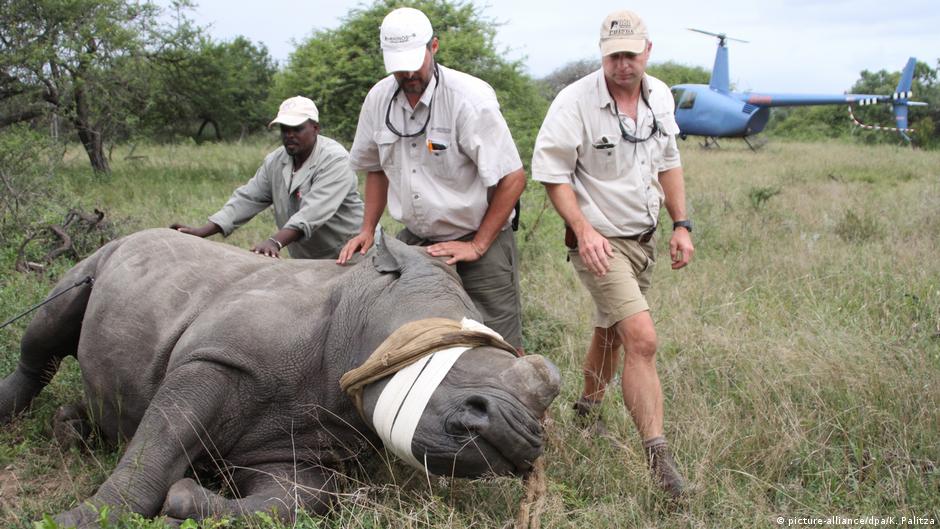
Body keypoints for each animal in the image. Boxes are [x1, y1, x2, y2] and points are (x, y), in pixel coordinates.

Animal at [0, 228, 561, 527]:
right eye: (442, 348)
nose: (517, 433)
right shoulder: (216, 357)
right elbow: (153, 450)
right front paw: (68, 522)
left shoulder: (300, 445)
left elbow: (291, 501)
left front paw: (184, 503)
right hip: (101, 257)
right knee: (50, 328)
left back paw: (72, 429)